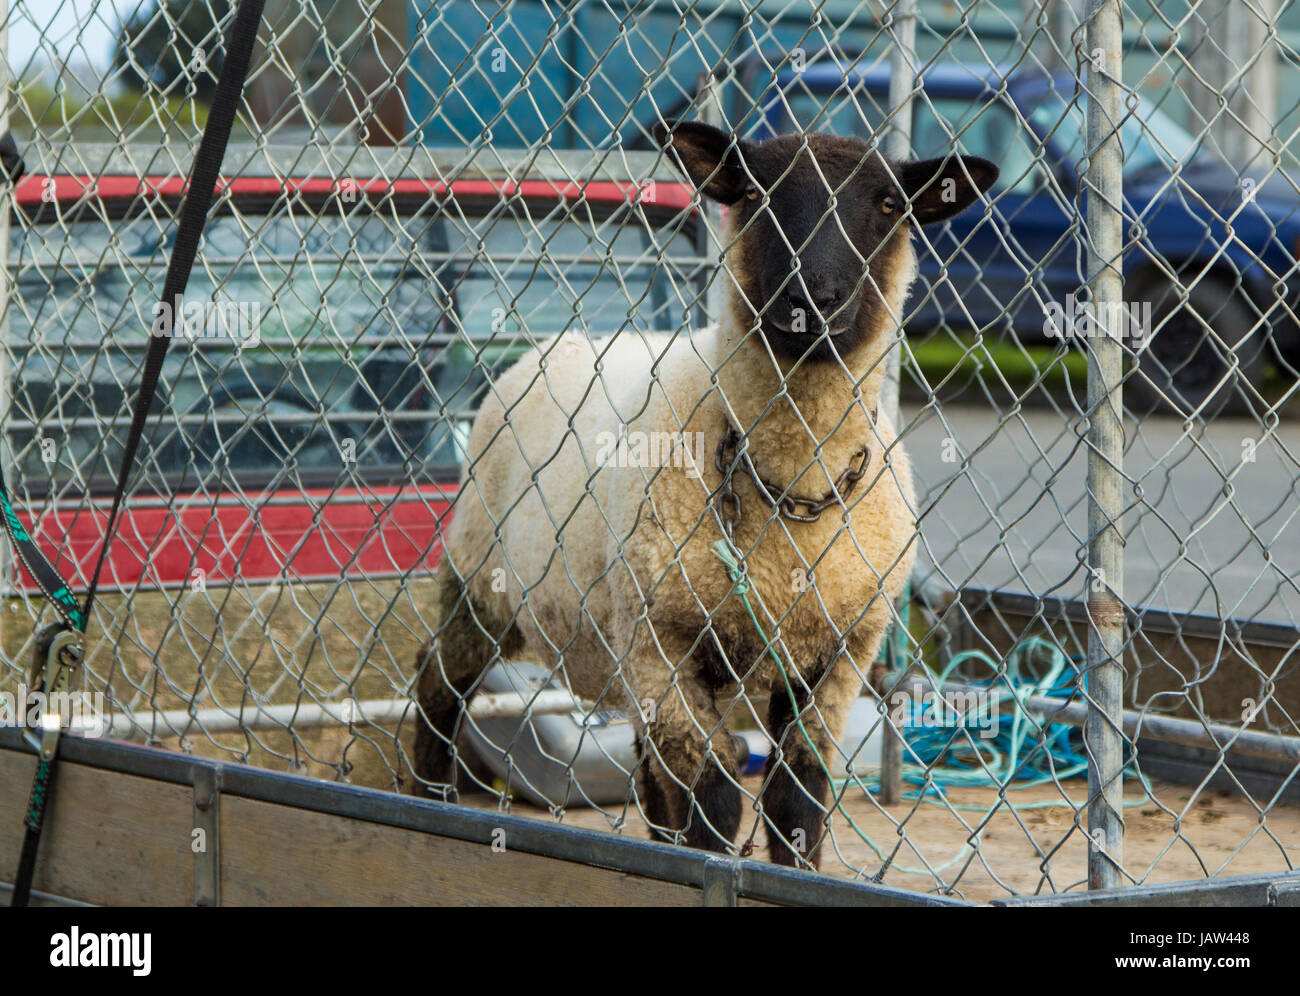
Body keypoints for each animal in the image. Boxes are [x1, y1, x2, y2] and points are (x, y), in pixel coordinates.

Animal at [410, 121, 997, 868]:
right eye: (752, 194)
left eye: (891, 205)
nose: (813, 298)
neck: (793, 501)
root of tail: (553, 345)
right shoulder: (665, 641)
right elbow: (715, 800)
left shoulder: (839, 653)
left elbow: (796, 799)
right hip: (482, 574)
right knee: (436, 685)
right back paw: (428, 801)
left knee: (647, 771)